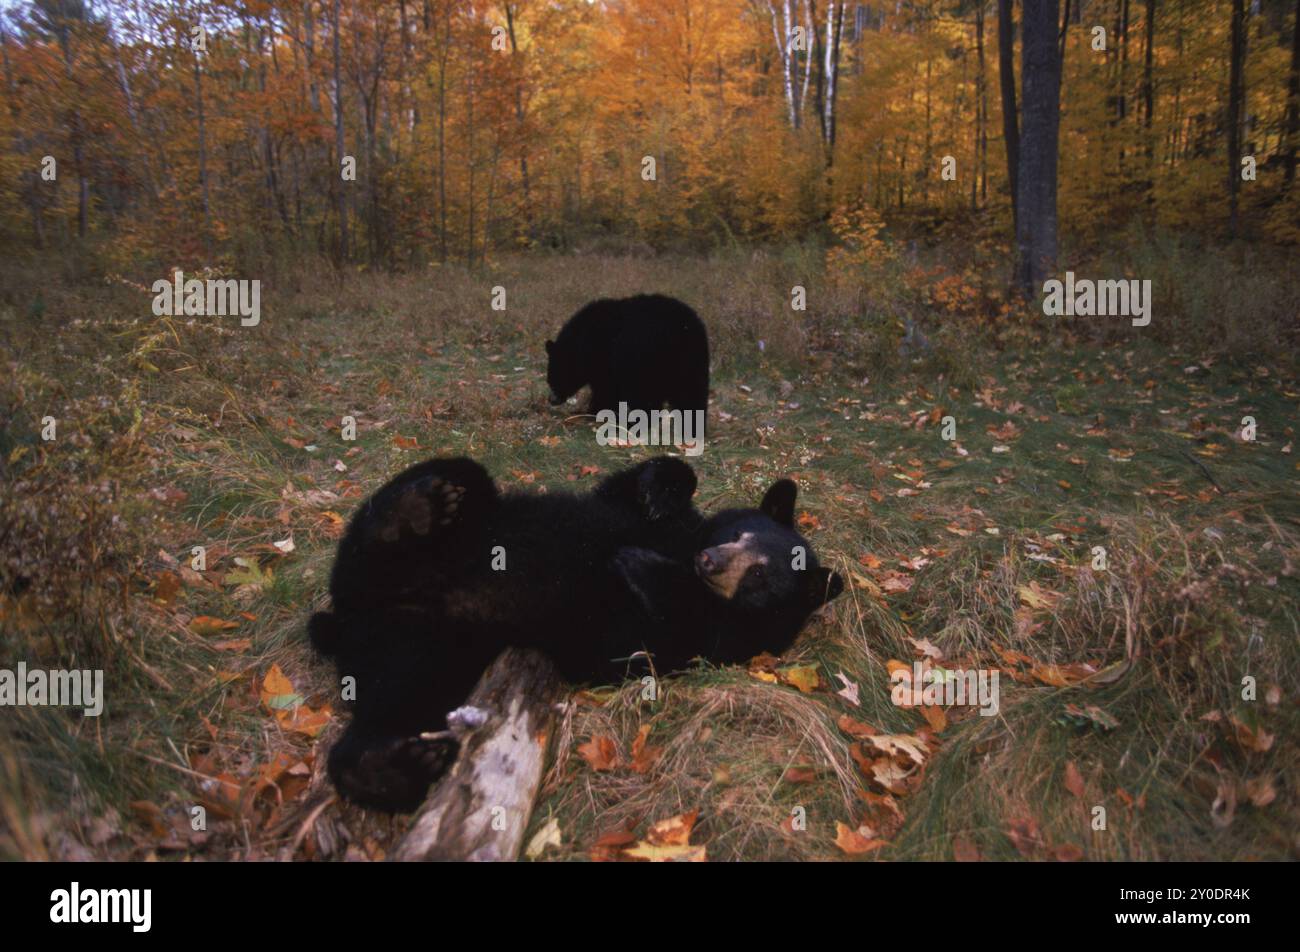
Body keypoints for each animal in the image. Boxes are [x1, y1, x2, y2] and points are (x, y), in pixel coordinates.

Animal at [309, 455, 842, 811]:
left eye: (759, 576)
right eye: (737, 534)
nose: (709, 561)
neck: (683, 548)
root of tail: (352, 618)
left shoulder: (720, 640)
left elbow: (671, 635)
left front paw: (638, 562)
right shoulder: (659, 522)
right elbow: (625, 489)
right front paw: (658, 491)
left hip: (436, 644)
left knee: (399, 694)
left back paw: (388, 769)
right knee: (454, 480)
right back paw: (418, 508)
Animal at [545, 294, 710, 430]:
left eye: (555, 376)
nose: (551, 400)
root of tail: (684, 331)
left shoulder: (607, 358)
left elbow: (605, 388)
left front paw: (592, 412)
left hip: (645, 360)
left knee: (645, 394)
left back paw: (634, 423)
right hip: (692, 361)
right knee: (692, 393)